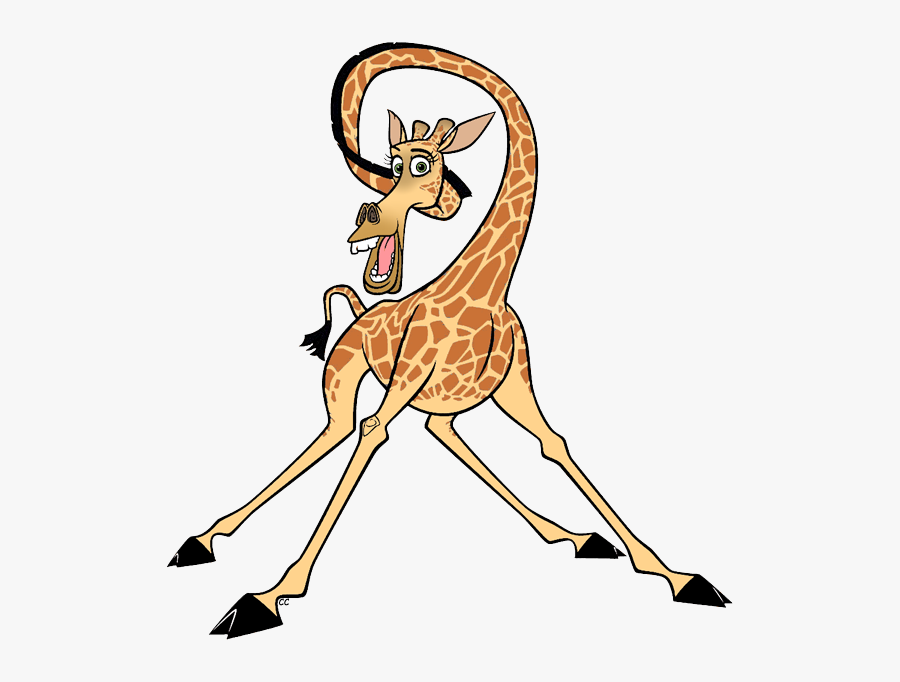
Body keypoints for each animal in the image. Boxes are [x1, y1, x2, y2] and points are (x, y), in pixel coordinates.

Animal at [169, 43, 729, 639]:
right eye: (392, 164)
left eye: (420, 165)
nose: (365, 222)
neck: (485, 290)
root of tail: (358, 313)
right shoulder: (407, 381)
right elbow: (372, 433)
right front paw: (266, 598)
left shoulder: (513, 385)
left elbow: (552, 443)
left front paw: (679, 577)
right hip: (345, 377)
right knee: (335, 432)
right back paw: (202, 540)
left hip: (436, 402)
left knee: (431, 432)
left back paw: (573, 537)